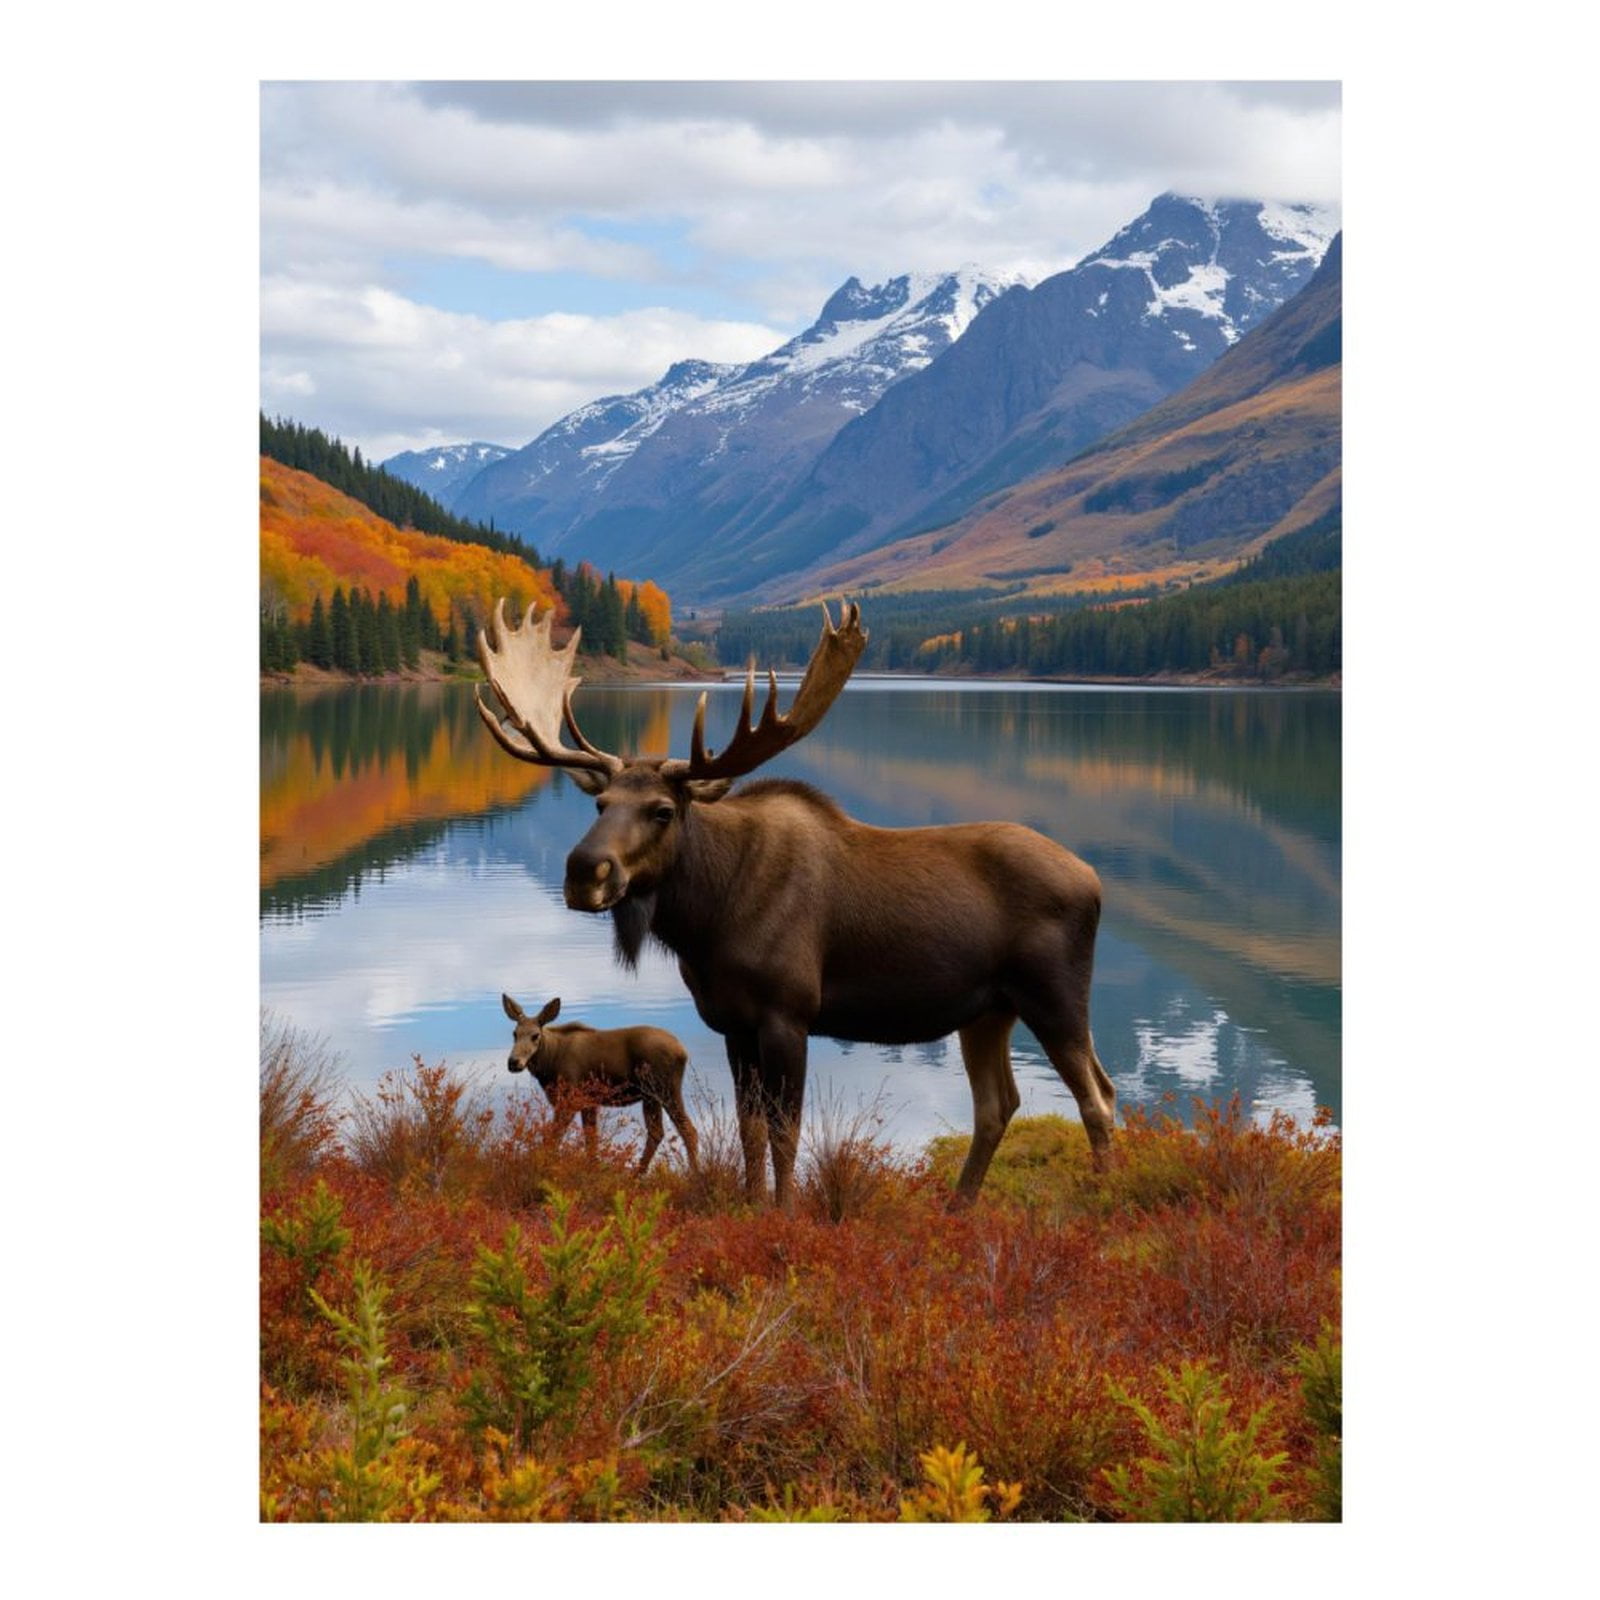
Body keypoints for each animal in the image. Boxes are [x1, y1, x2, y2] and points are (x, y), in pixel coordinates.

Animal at [501, 992, 699, 1176]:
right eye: (514, 1034)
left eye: (535, 1036)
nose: (514, 1062)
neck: (549, 1065)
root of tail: (683, 1052)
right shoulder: (588, 1102)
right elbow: (591, 1140)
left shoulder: (571, 1098)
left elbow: (553, 1137)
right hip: (650, 1096)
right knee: (657, 1131)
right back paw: (637, 1174)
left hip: (664, 1089)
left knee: (687, 1129)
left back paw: (693, 1174)